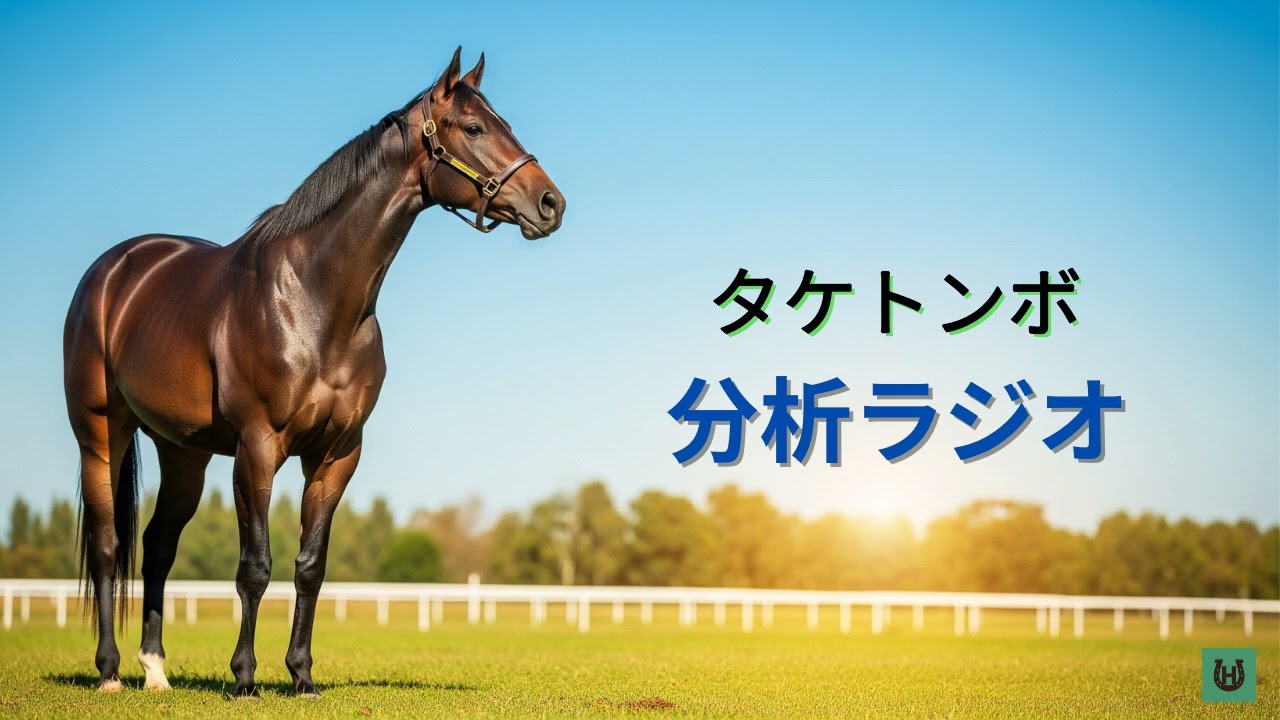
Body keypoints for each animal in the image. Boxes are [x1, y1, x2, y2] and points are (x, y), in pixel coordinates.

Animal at [62, 47, 564, 698]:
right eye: (475, 128)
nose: (551, 203)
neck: (314, 299)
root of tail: (113, 271)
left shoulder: (336, 454)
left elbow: (310, 567)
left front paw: (301, 675)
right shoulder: (257, 449)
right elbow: (255, 568)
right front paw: (245, 678)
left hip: (184, 453)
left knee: (156, 548)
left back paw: (155, 670)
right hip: (101, 435)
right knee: (107, 547)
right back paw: (109, 672)